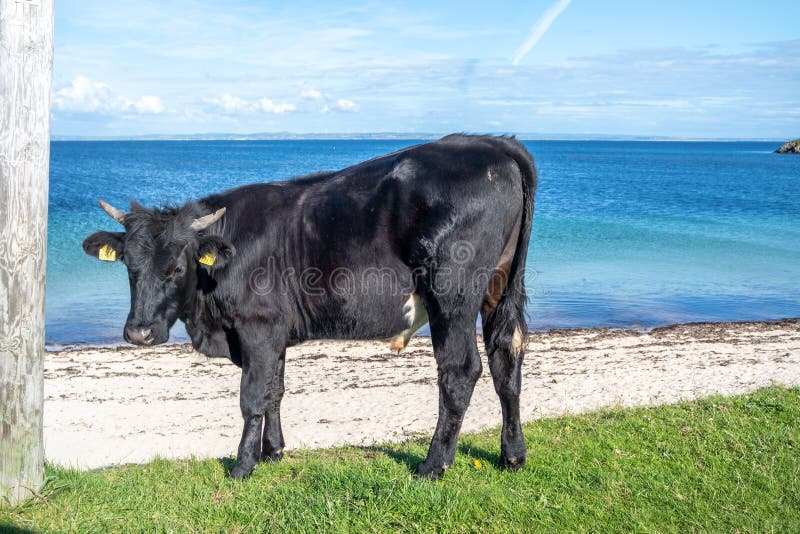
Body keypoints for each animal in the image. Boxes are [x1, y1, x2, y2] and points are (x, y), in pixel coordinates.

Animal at [82, 134, 537, 480]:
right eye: (128, 265)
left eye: (177, 268)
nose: (138, 333)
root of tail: (489, 142)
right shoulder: (275, 331)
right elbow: (275, 390)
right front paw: (273, 452)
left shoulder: (257, 325)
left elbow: (251, 396)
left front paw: (243, 466)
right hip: (499, 287)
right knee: (506, 361)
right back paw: (512, 456)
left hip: (452, 295)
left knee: (460, 371)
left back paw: (433, 465)